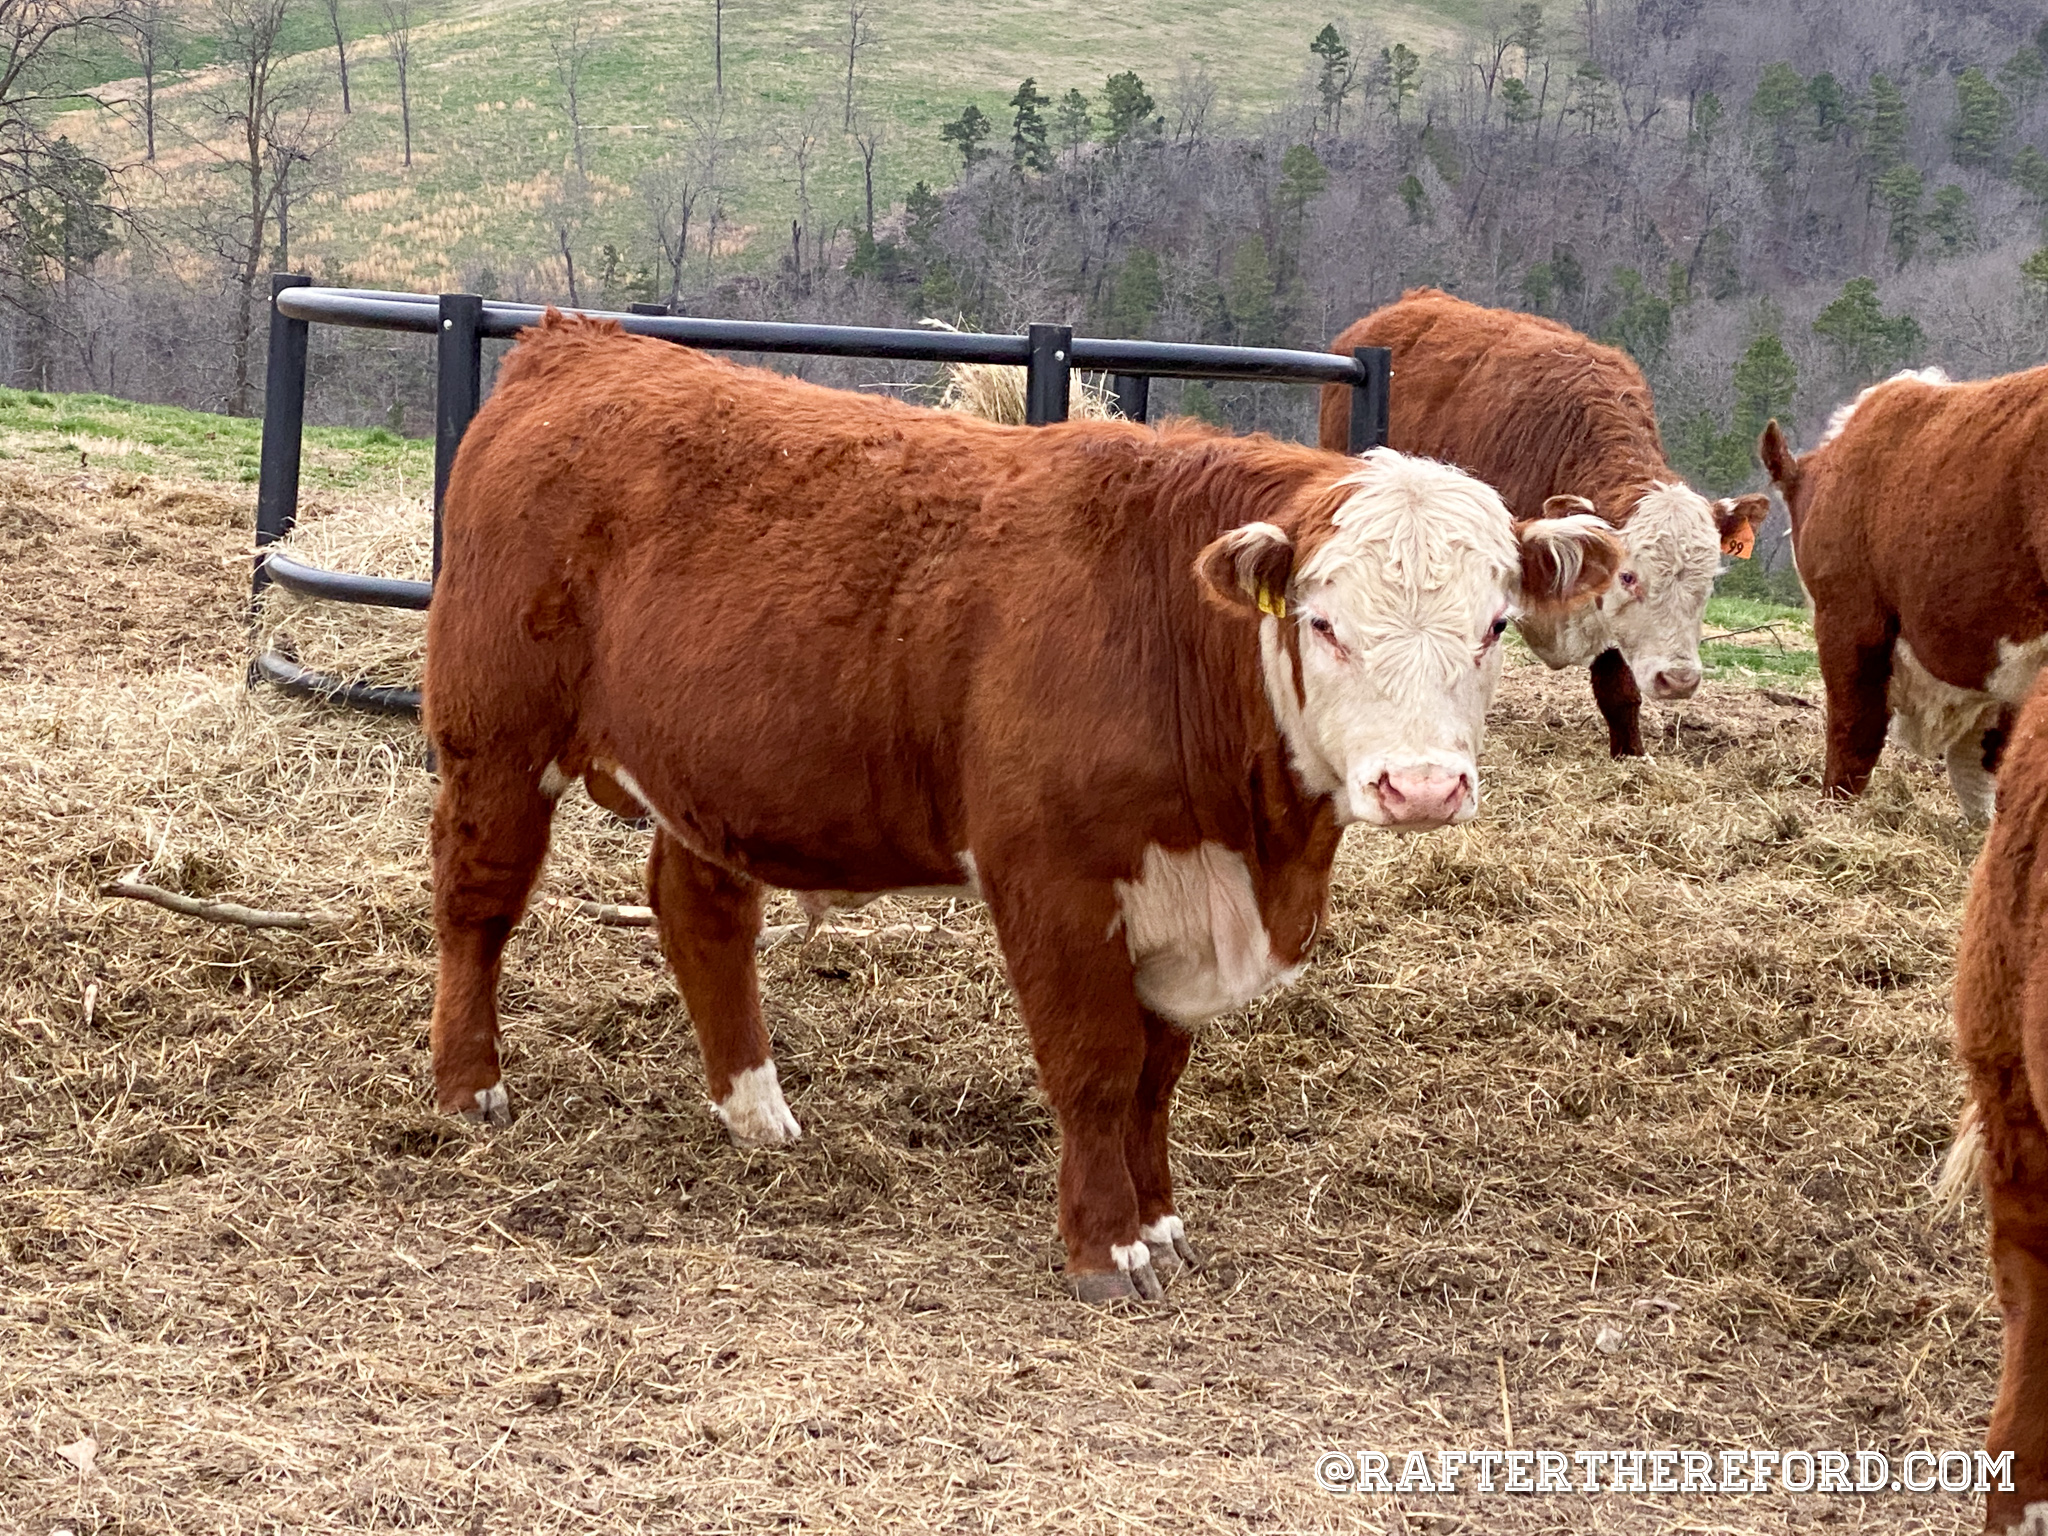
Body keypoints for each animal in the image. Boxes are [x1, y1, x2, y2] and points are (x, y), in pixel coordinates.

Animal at [423, 313, 1622, 1301]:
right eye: (1322, 624)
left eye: (1494, 626)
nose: (1419, 786)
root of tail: (579, 340)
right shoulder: (1052, 876)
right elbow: (1095, 1066)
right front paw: (1107, 1248)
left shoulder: (1175, 895)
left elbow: (1155, 1076)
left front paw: (1160, 1220)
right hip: (495, 739)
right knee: (477, 902)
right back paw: (466, 1087)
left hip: (710, 773)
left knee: (698, 911)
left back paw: (757, 1114)